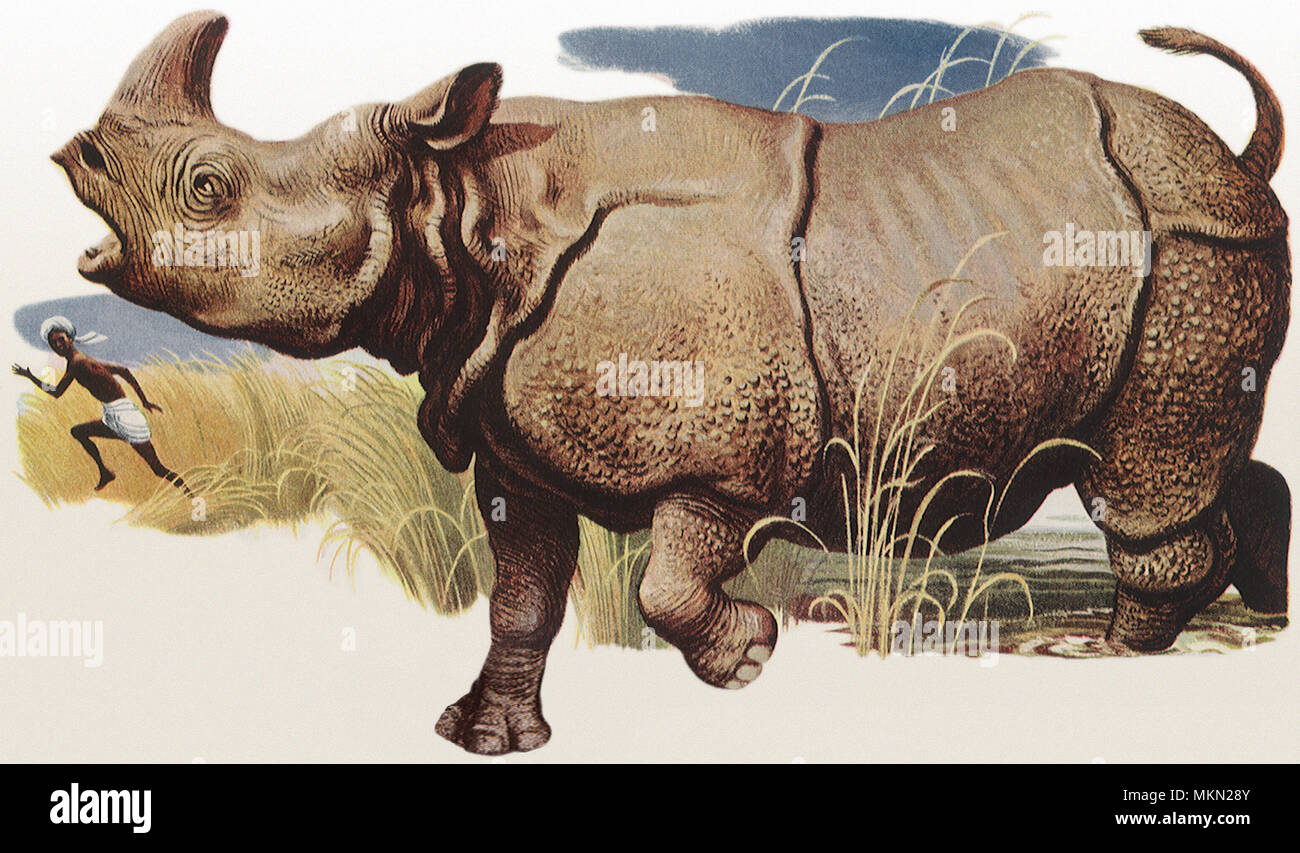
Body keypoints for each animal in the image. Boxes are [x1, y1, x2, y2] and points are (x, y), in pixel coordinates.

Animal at [53, 12, 1290, 754]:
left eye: (208, 187)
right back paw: (1240, 613)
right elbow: (522, 594)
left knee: (1143, 474)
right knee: (1196, 455)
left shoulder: (726, 457)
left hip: (1189, 245)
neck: (454, 206)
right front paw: (481, 738)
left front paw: (744, 660)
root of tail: (1235, 158)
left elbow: (661, 580)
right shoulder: (510, 435)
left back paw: (1114, 658)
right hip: (1174, 244)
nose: (70, 157)